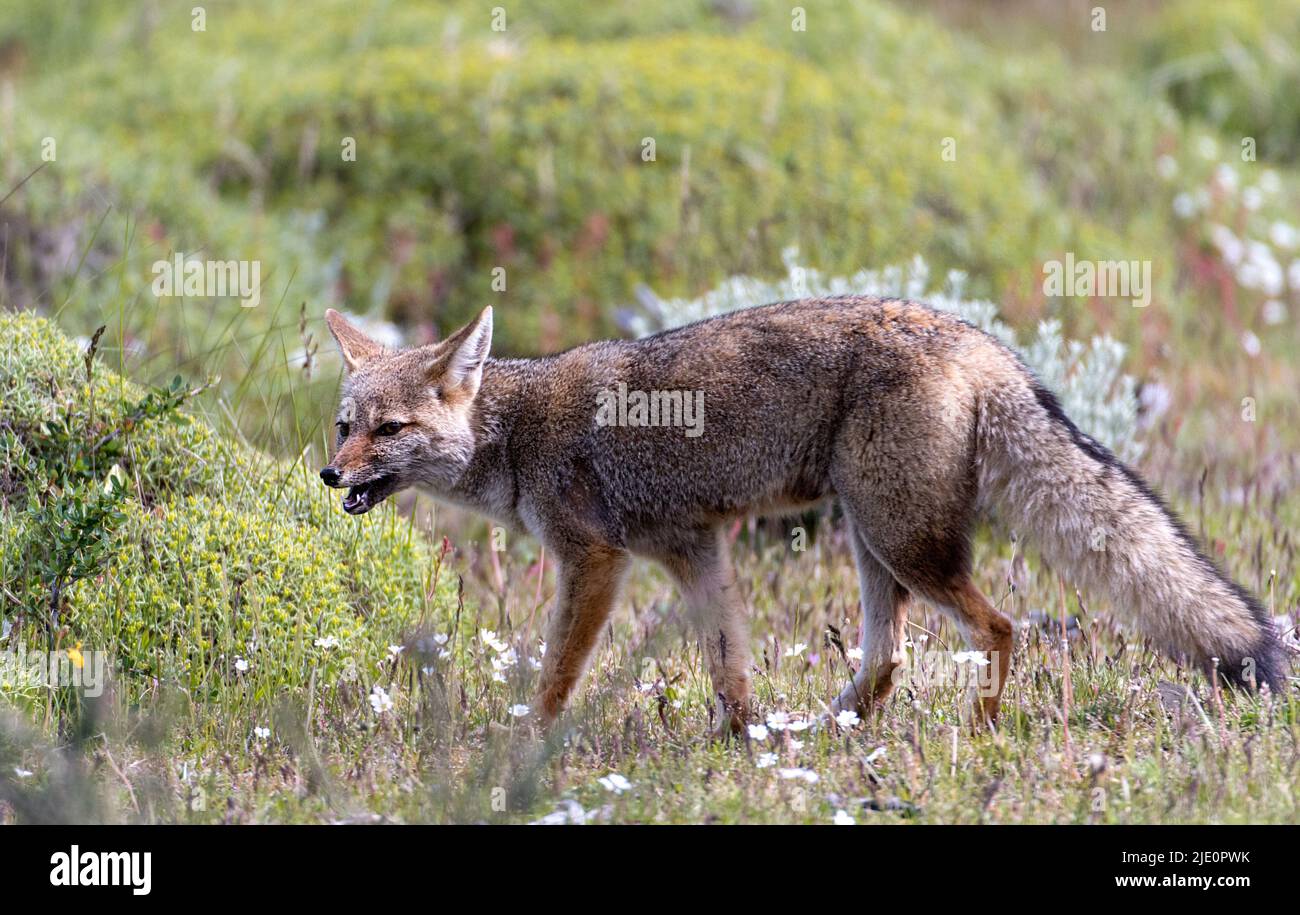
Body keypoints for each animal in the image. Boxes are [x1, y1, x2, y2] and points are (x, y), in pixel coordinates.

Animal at [320, 296, 1287, 733]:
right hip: (873, 544)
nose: (330, 475)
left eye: (388, 430)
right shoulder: (695, 550)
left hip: (902, 540)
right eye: (343, 424)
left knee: (1002, 625)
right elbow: (729, 665)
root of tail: (981, 340)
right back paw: (828, 729)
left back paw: (979, 726)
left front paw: (524, 740)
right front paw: (741, 738)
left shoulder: (595, 562)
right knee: (888, 658)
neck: (517, 433)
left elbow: (559, 669)